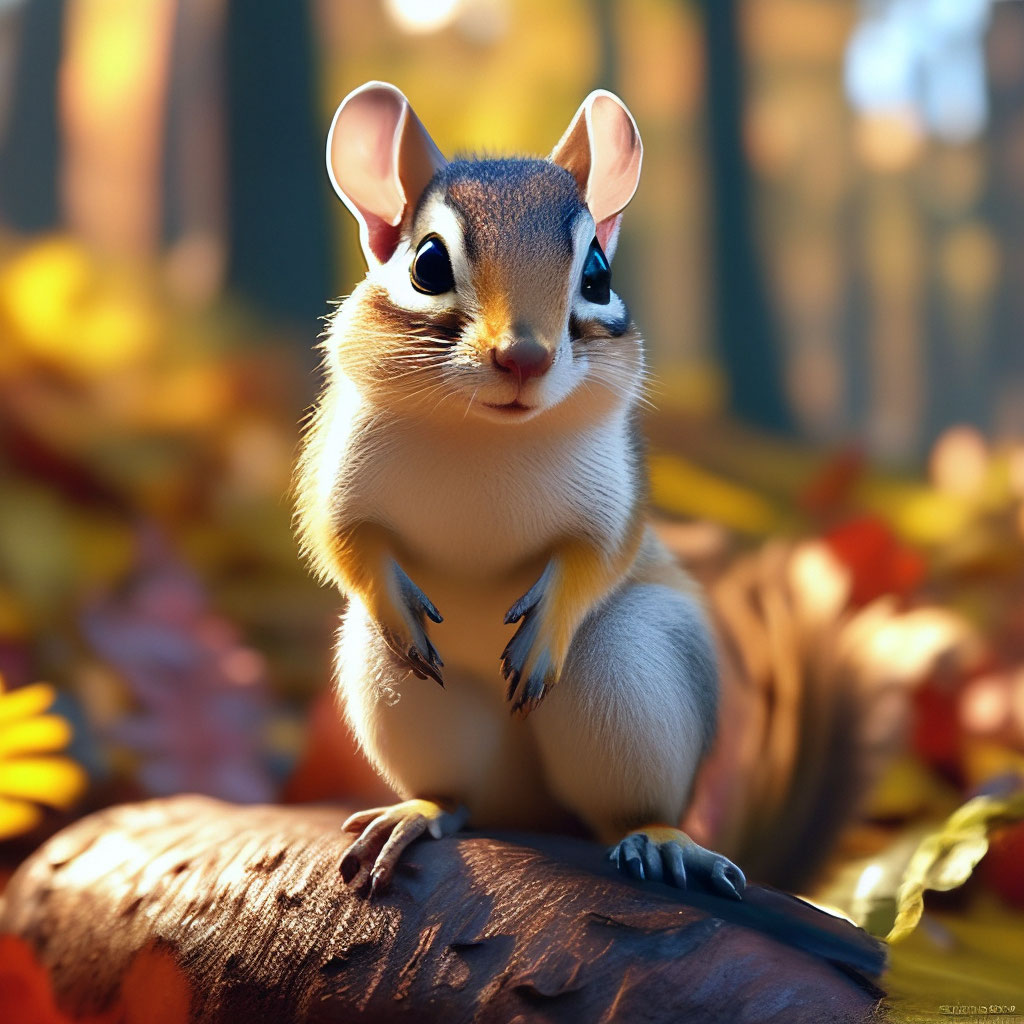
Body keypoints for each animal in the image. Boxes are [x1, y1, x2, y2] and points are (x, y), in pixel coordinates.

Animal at [295, 82, 746, 901]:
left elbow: (597, 556)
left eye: (597, 276)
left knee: (627, 807)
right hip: (403, 696)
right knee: (455, 794)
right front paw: (396, 603)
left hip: (631, 674)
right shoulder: (335, 471)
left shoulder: (615, 493)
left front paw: (545, 627)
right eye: (428, 263)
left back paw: (663, 840)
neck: (486, 438)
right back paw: (414, 815)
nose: (525, 357)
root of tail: (534, 811)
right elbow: (342, 541)